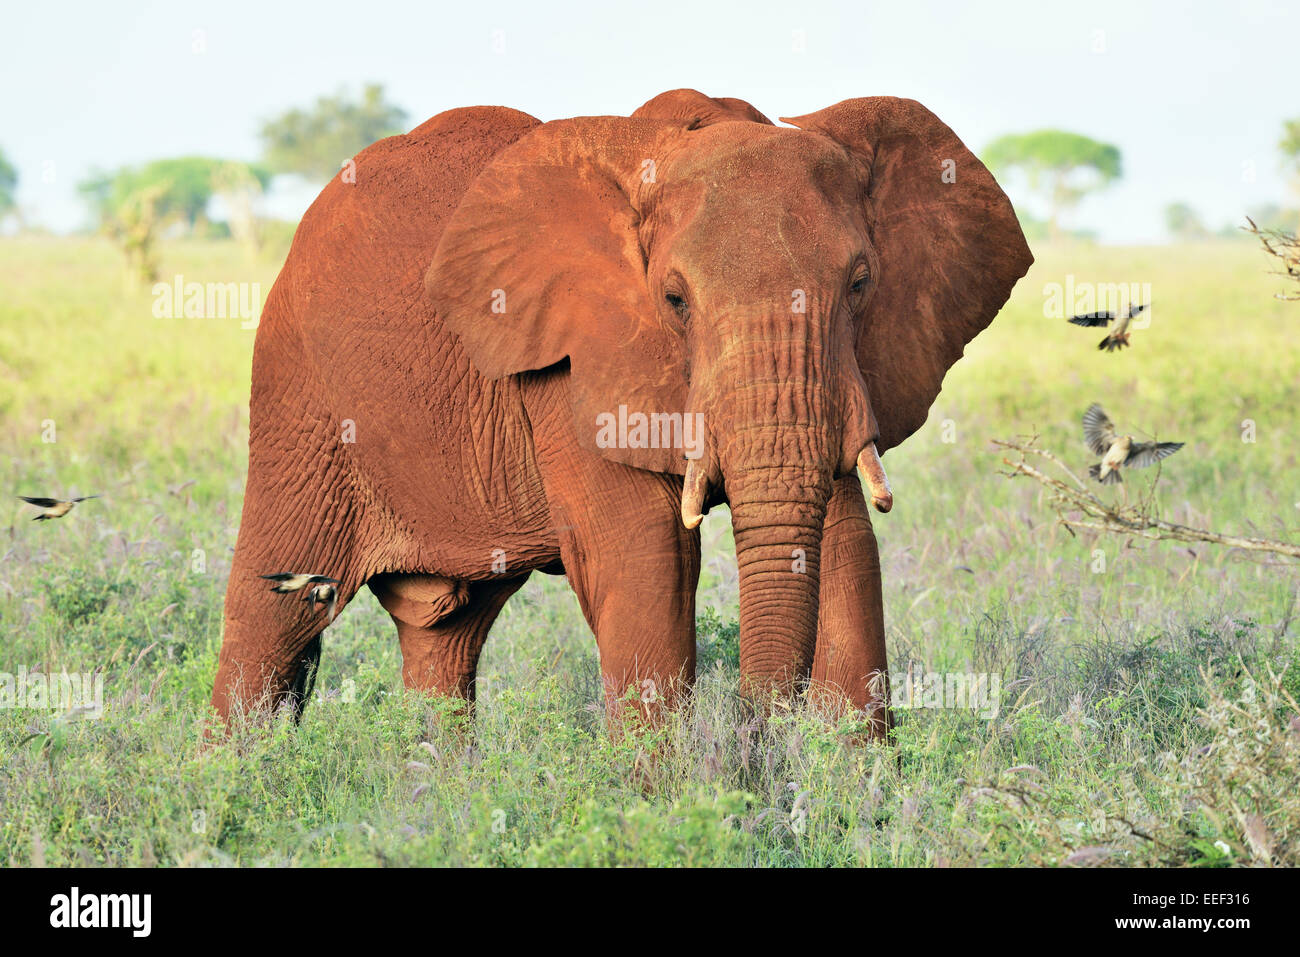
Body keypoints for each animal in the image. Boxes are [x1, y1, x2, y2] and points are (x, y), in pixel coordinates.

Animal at [211, 89, 1032, 738]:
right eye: (674, 299)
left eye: (861, 284)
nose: (759, 737)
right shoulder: (571, 362)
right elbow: (644, 556)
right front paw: (663, 810)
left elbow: (847, 545)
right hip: (297, 396)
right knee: (273, 617)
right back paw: (235, 783)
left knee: (446, 629)